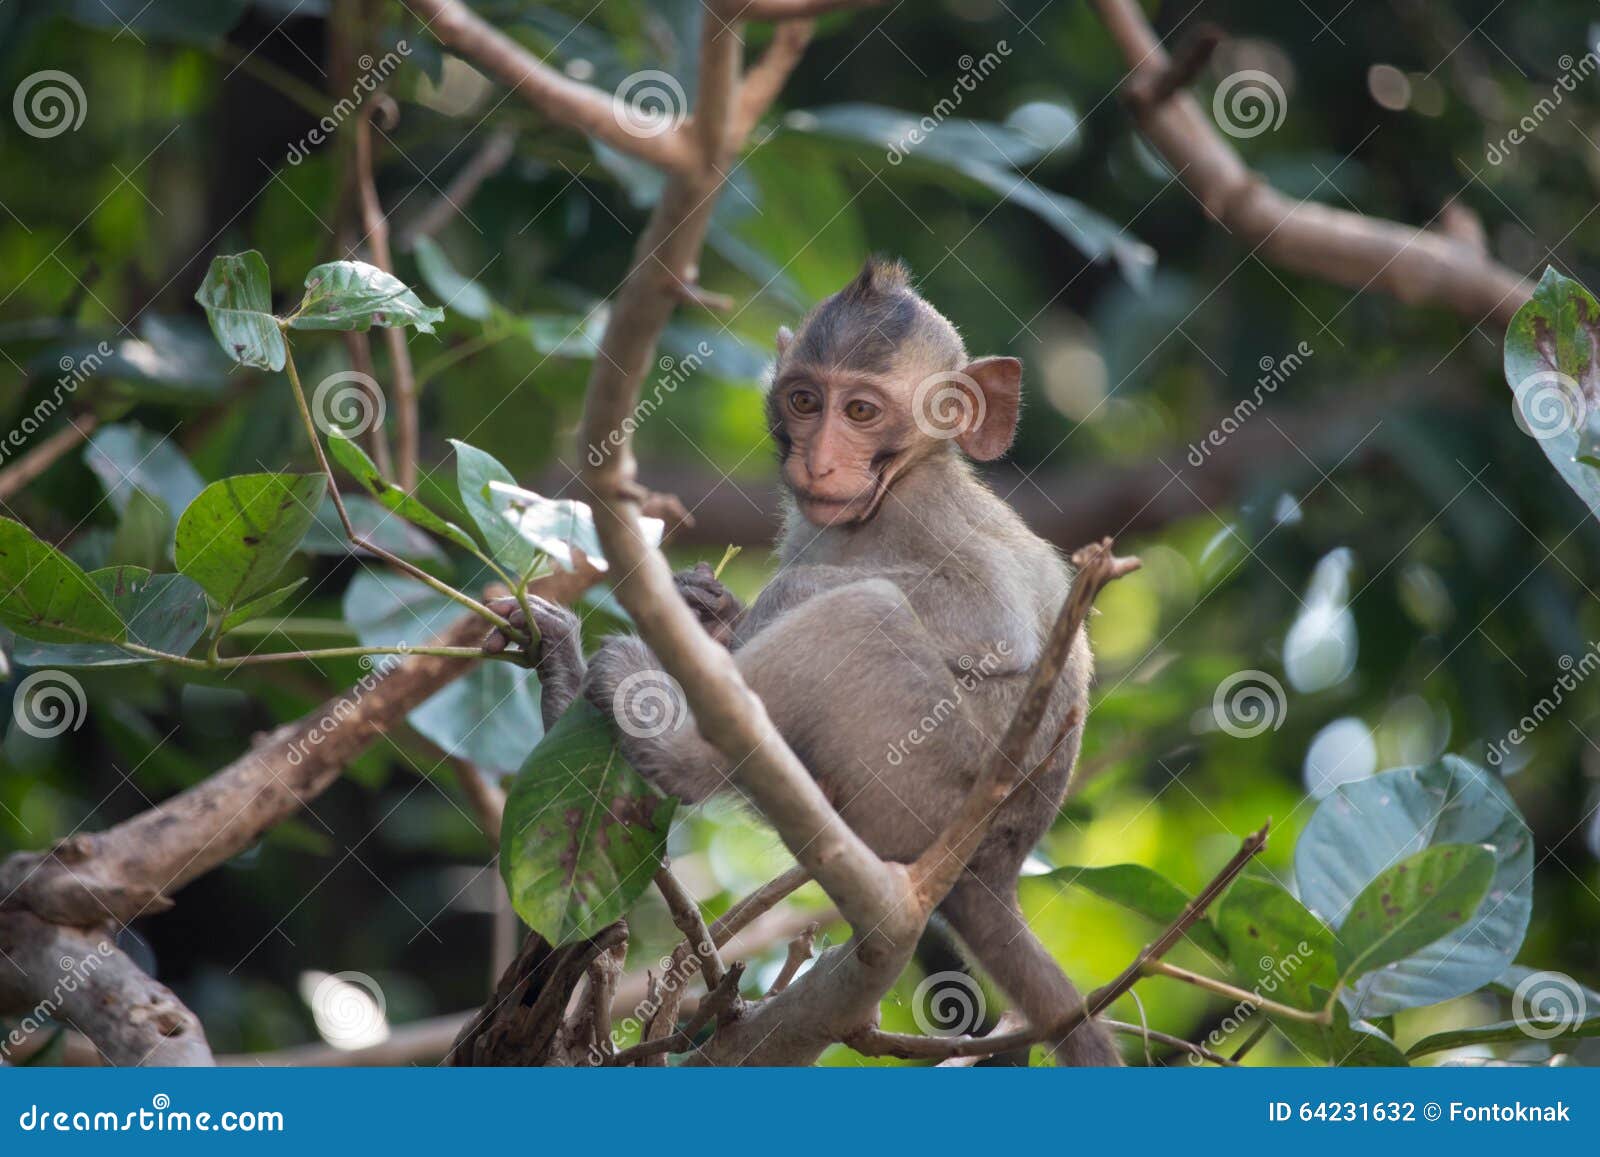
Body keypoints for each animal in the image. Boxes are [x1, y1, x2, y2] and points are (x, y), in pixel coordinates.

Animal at [494, 258, 1121, 1066]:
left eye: (861, 411)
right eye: (802, 400)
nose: (818, 460)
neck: (880, 503)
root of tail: (994, 870)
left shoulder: (930, 514)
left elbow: (993, 624)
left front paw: (749, 610)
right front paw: (706, 605)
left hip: (929, 781)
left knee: (866, 613)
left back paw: (672, 743)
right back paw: (576, 687)